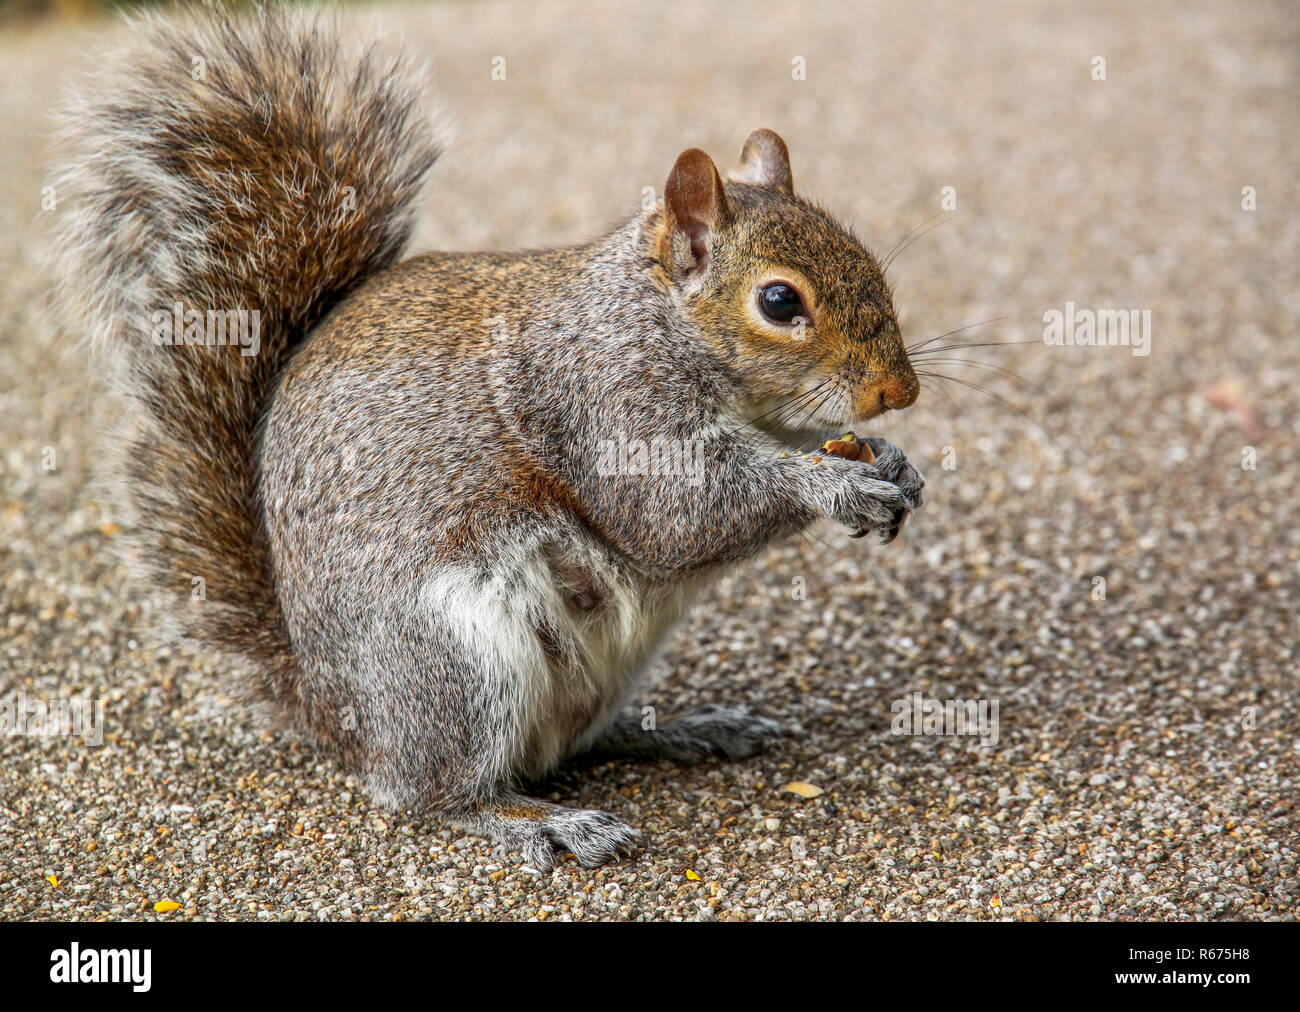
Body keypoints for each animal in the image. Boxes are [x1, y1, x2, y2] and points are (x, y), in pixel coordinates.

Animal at [54, 5, 925, 870]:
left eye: (866, 256)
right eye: (779, 301)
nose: (900, 392)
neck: (660, 321)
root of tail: (334, 713)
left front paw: (891, 462)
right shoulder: (604, 402)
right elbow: (676, 517)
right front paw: (833, 484)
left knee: (580, 740)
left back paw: (685, 729)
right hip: (458, 662)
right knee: (434, 791)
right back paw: (539, 821)